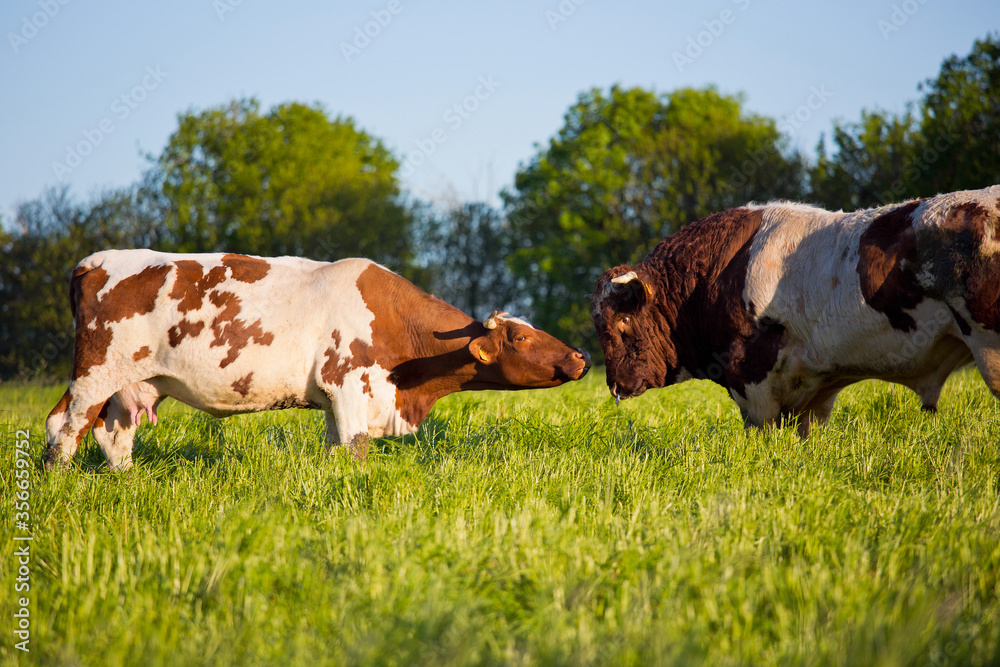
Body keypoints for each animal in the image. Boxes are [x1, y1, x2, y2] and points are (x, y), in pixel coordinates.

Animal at [45, 251, 591, 470]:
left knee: (113, 434)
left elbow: (335, 451)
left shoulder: (335, 398)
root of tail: (95, 260)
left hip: (134, 383)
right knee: (64, 426)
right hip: (94, 373)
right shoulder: (349, 386)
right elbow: (355, 447)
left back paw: (128, 482)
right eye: (520, 336)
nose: (581, 355)